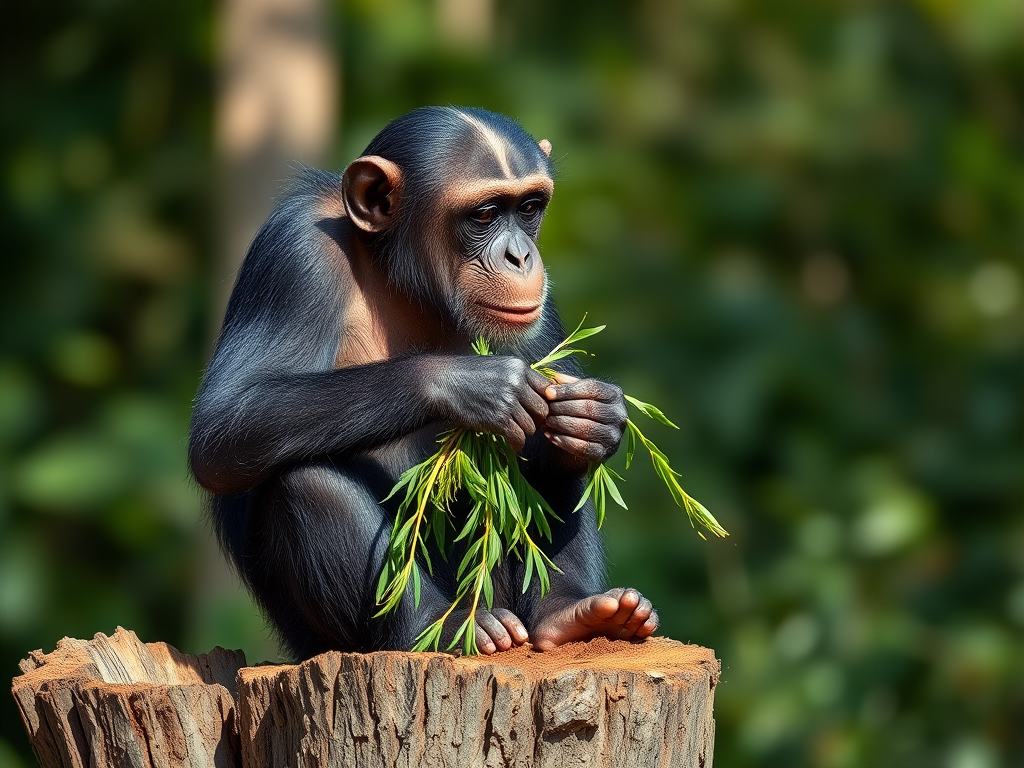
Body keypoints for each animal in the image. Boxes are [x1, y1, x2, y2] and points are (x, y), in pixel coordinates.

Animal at [189, 107, 658, 659]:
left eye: (529, 208)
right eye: (484, 214)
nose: (521, 256)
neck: (400, 275)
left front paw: (592, 416)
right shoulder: (295, 250)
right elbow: (226, 421)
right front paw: (472, 384)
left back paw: (570, 611)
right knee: (301, 479)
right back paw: (442, 625)